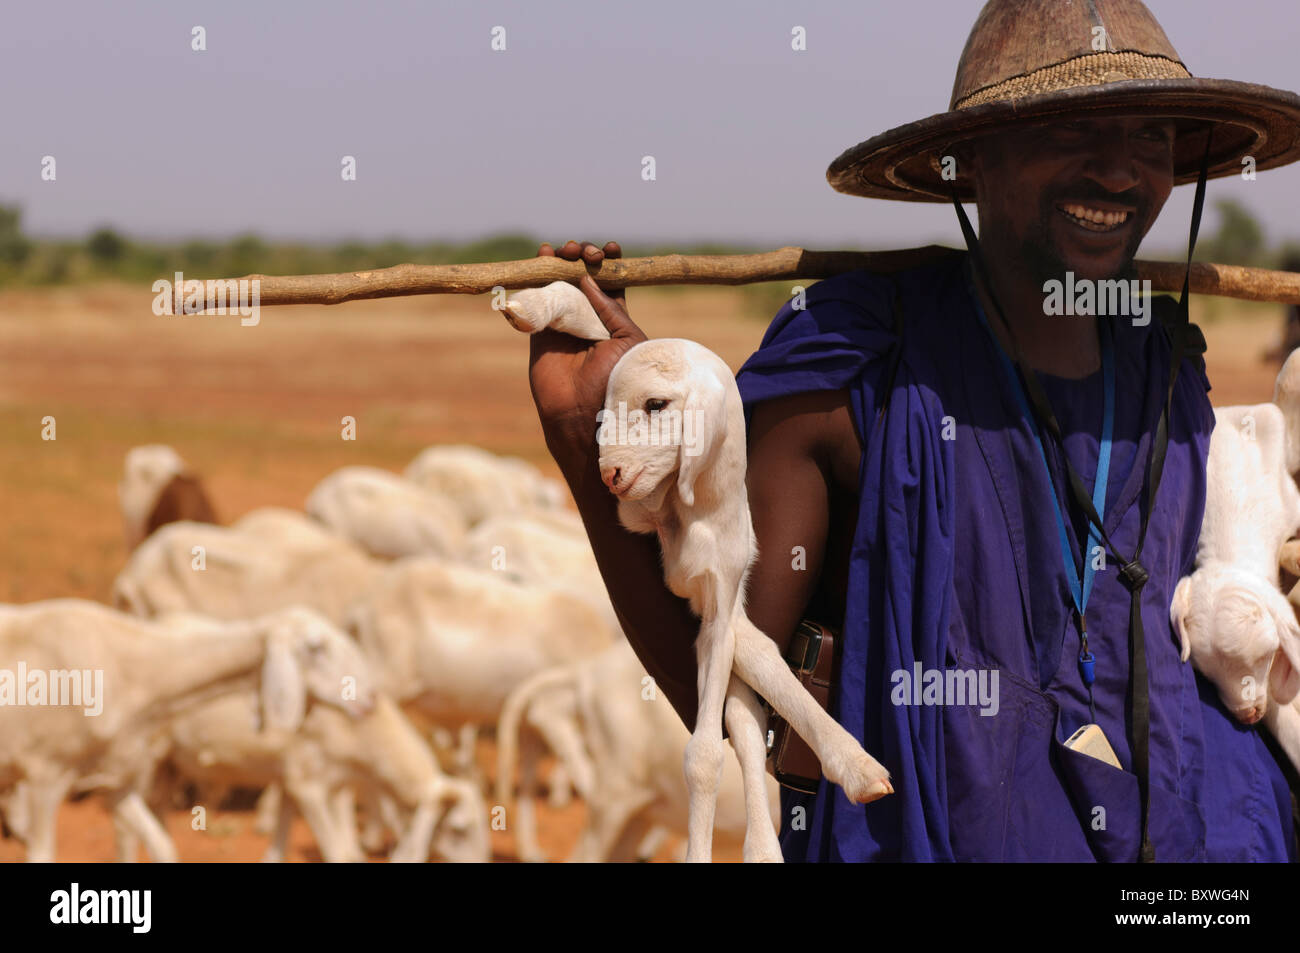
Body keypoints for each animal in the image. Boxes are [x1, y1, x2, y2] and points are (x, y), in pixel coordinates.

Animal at [0, 600, 373, 862]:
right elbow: (41, 855)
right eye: (316, 647)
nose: (368, 698)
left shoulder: (112, 779)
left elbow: (164, 846)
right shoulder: (44, 776)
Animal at [503, 281, 893, 863]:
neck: (682, 508)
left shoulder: (721, 592)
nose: (609, 473)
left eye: (657, 405)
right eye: (603, 413)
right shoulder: (649, 528)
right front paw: (538, 304)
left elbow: (708, 750)